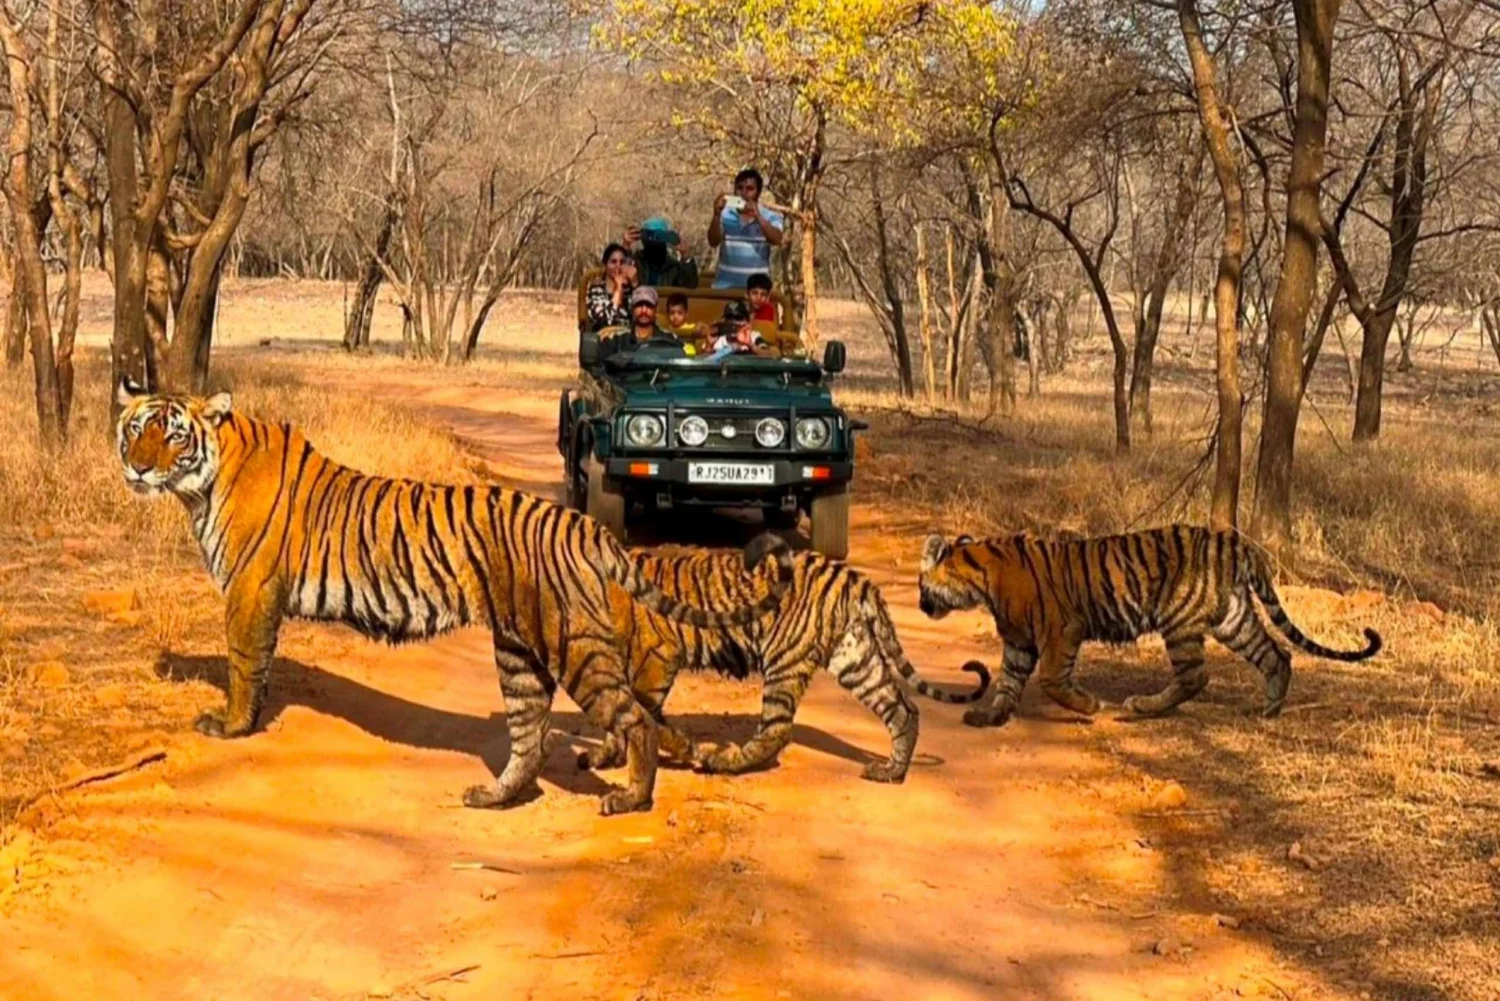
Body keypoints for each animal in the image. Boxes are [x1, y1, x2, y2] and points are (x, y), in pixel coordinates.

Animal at [114, 379, 792, 816]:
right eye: (136, 431)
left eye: (173, 437)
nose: (138, 470)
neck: (202, 482)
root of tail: (583, 524)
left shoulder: (249, 591)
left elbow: (243, 664)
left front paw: (231, 727)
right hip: (521, 653)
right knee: (531, 737)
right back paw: (495, 797)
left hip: (574, 647)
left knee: (633, 720)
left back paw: (631, 798)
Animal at [580, 538, 991, 784]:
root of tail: (851, 576)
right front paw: (605, 753)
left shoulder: (656, 656)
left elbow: (635, 711)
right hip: (854, 656)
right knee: (902, 708)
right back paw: (890, 771)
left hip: (784, 658)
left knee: (776, 730)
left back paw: (723, 762)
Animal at [917, 525, 1382, 727]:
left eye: (922, 585)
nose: (921, 606)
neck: (980, 579)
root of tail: (1236, 542)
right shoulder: (1018, 641)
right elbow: (1008, 681)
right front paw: (990, 715)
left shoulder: (1061, 630)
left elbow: (1050, 679)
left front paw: (1090, 706)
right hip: (1232, 619)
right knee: (1277, 654)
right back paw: (1267, 710)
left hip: (1179, 619)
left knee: (1195, 676)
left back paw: (1140, 708)